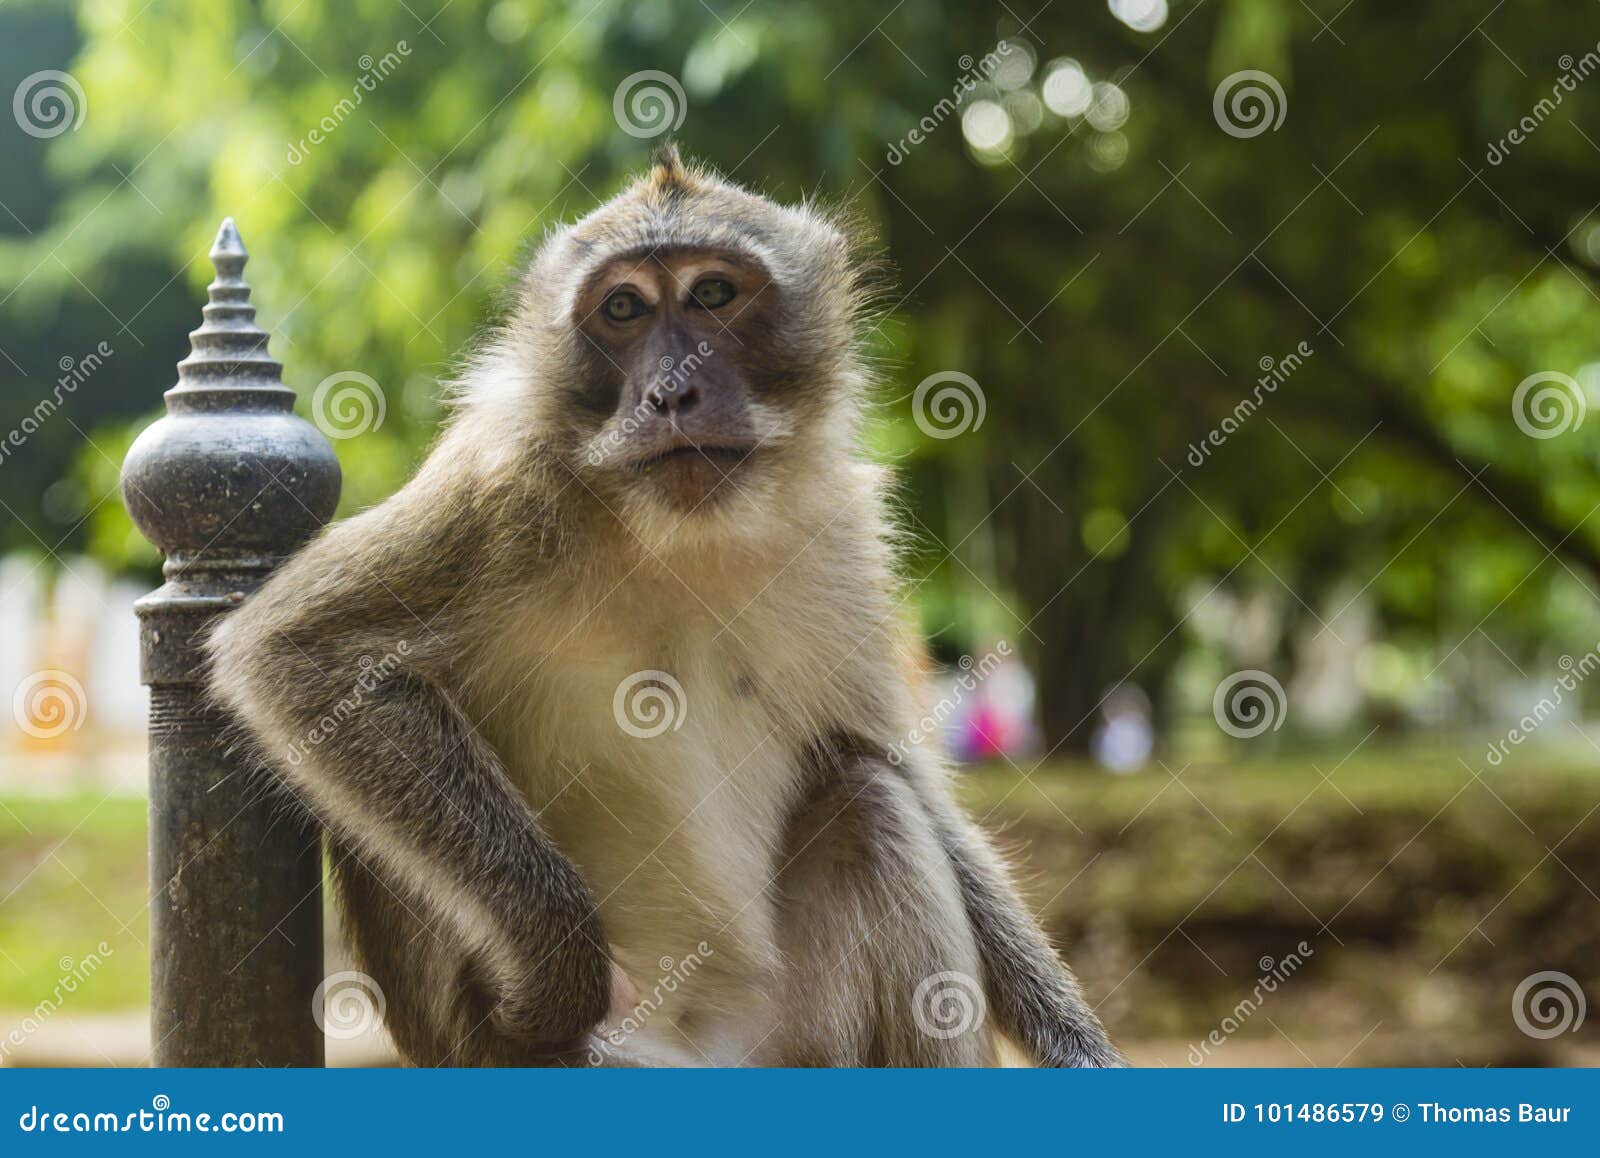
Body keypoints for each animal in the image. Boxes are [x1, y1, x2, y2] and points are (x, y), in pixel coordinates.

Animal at [205, 145, 1122, 1068]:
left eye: (713, 293)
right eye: (623, 309)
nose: (672, 393)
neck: (675, 534)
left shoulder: (842, 533)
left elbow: (889, 761)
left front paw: (1076, 1049)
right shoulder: (498, 489)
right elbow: (298, 655)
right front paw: (559, 968)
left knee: (870, 801)